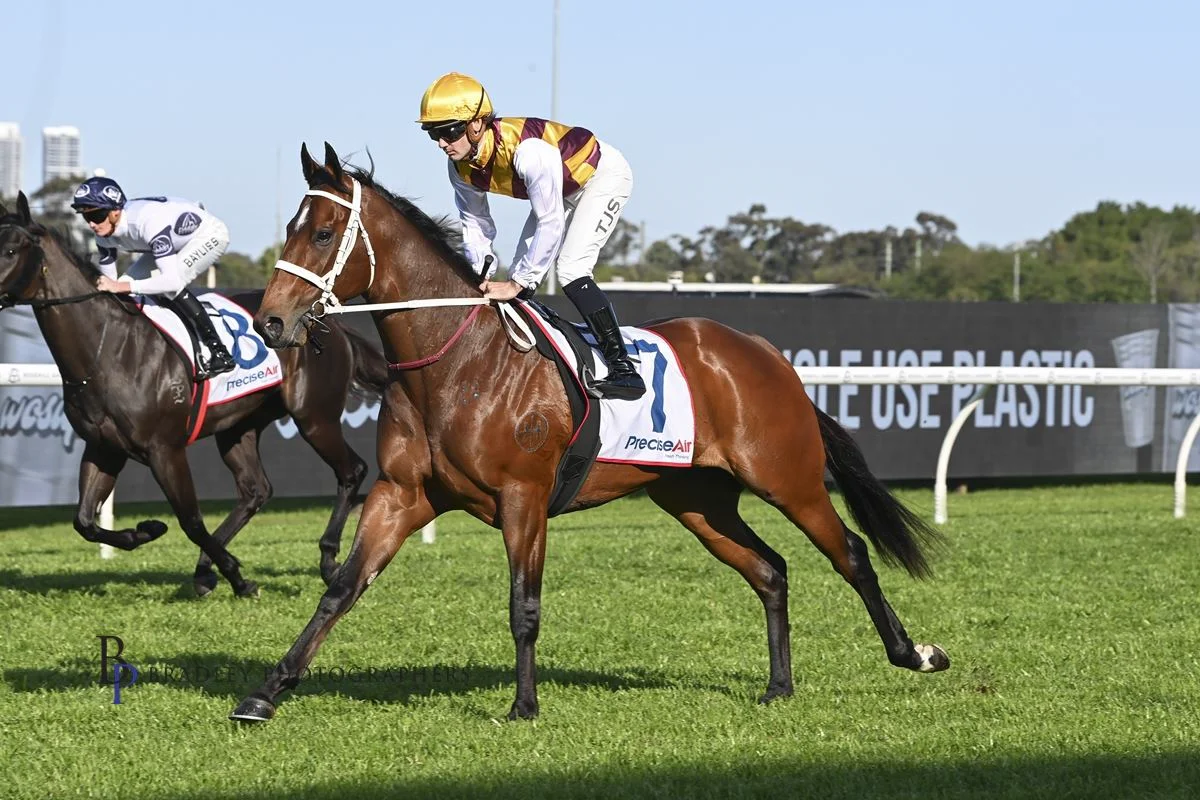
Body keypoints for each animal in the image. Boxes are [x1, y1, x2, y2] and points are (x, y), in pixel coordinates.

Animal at [0, 192, 388, 597]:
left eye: (11, 250)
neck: (107, 350)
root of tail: (329, 323)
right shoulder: (104, 447)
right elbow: (84, 521)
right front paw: (147, 533)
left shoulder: (164, 450)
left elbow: (191, 521)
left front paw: (234, 573)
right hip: (238, 426)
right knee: (255, 491)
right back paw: (205, 569)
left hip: (314, 416)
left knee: (351, 471)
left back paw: (328, 559)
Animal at [230, 143, 949, 722]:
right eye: (292, 230)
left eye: (324, 232)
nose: (269, 322)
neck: (459, 365)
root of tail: (763, 351)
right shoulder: (403, 494)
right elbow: (341, 589)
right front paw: (266, 692)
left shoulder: (523, 497)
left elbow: (524, 604)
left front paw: (523, 706)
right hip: (696, 500)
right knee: (771, 571)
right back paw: (779, 687)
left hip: (786, 476)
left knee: (850, 552)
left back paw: (914, 653)